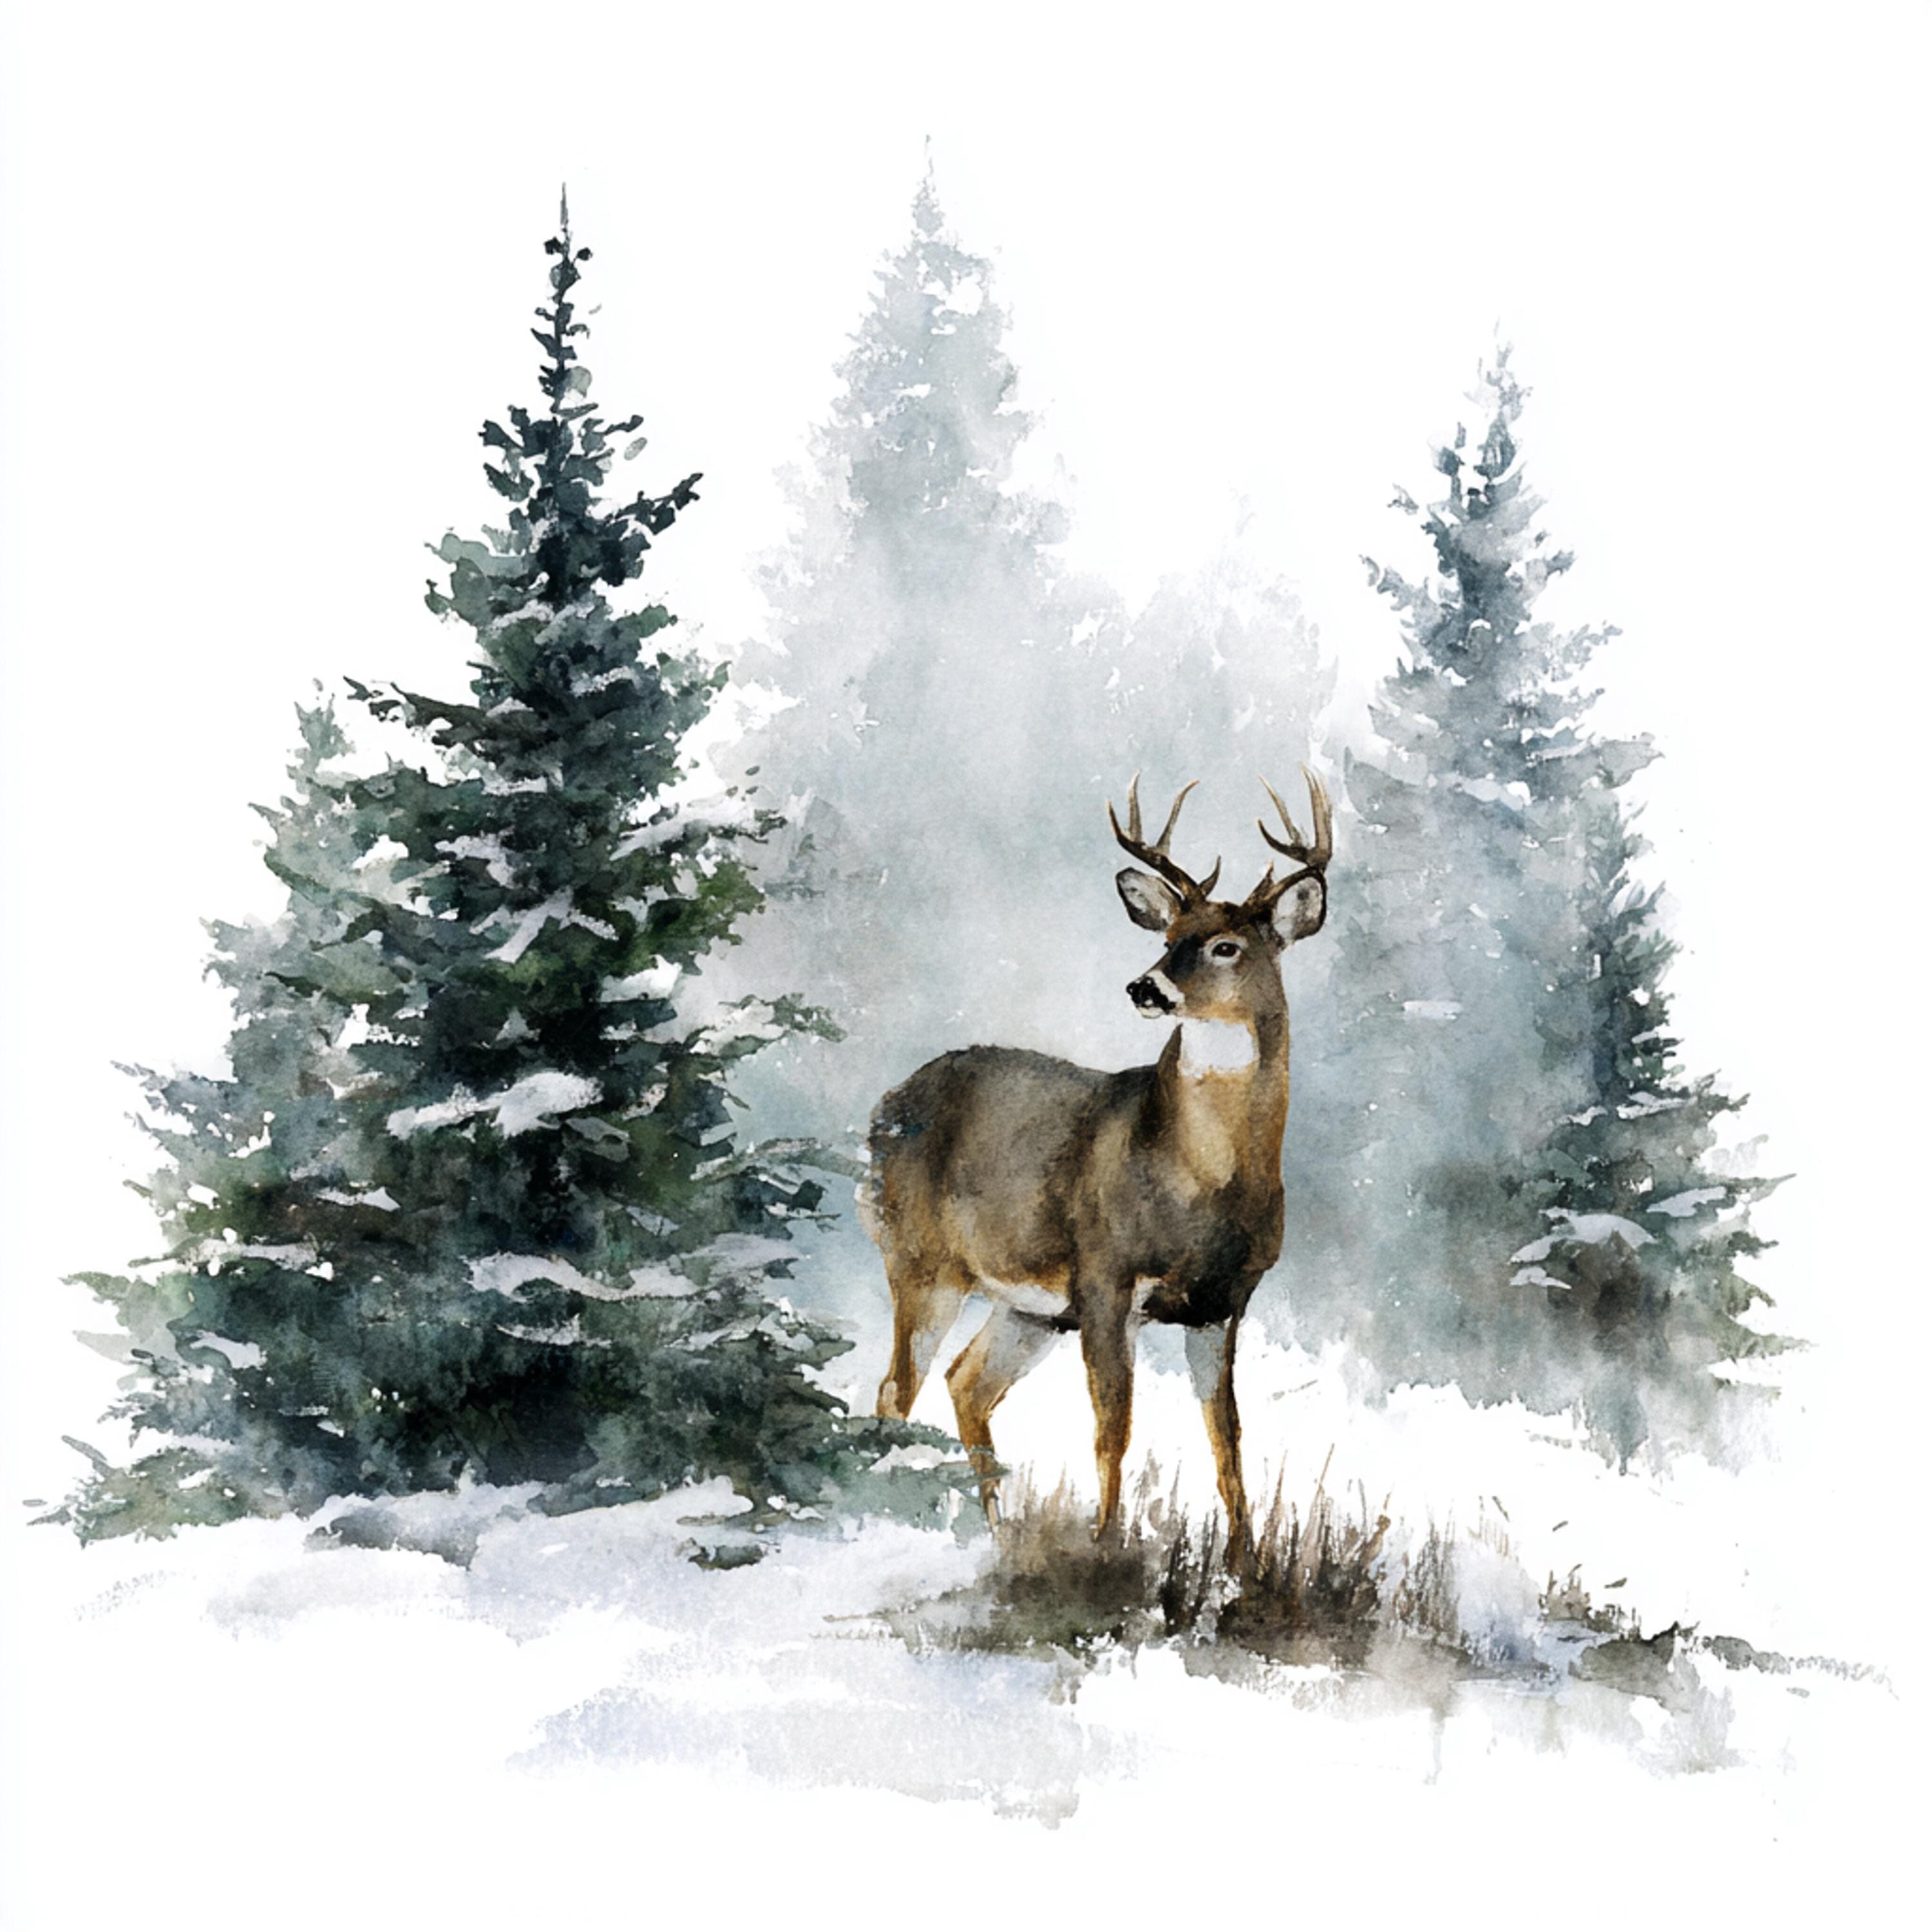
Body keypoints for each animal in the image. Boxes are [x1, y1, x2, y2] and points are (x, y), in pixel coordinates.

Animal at [860, 769, 1332, 1555]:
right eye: (1169, 937)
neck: (1199, 1180)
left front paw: (1246, 1560)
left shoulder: (1222, 1304)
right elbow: (1114, 1429)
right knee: (896, 1391)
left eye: (1226, 947)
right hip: (922, 1259)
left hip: (1029, 1307)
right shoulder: (1106, 1278)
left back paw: (1001, 1536)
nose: (1146, 987)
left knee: (965, 1382)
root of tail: (879, 1113)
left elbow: (1228, 1439)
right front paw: (1108, 1547)